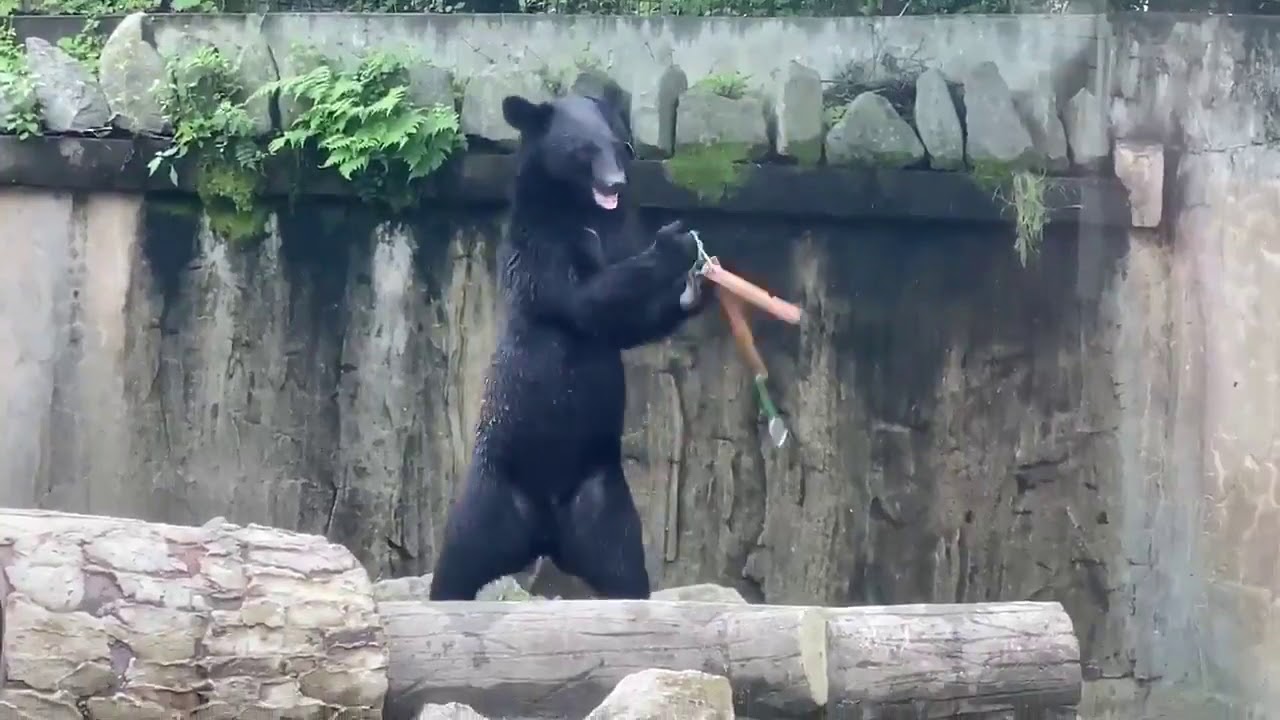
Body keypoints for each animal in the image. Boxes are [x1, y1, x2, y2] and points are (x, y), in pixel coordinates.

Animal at [427, 89, 713, 601]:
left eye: (619, 145)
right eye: (583, 150)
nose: (616, 183)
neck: (580, 212)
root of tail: (545, 536)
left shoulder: (612, 238)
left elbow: (625, 326)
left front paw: (695, 287)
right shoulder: (539, 247)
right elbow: (583, 299)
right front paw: (673, 244)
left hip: (601, 501)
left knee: (626, 570)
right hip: (491, 493)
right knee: (456, 562)